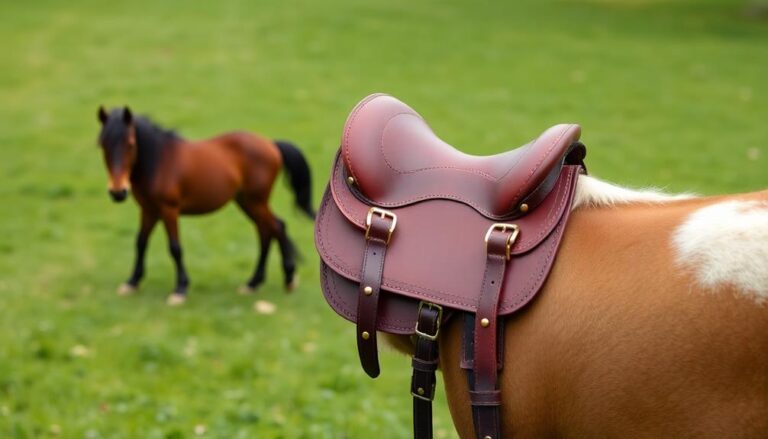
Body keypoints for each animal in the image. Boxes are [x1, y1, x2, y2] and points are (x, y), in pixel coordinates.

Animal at [96, 106, 315, 305]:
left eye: (130, 144)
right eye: (102, 144)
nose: (118, 192)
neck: (159, 162)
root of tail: (271, 144)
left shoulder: (169, 210)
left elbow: (175, 247)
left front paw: (180, 289)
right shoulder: (148, 210)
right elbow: (141, 242)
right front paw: (131, 282)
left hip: (256, 201)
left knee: (276, 227)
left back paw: (288, 279)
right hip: (246, 202)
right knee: (267, 231)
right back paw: (253, 283)